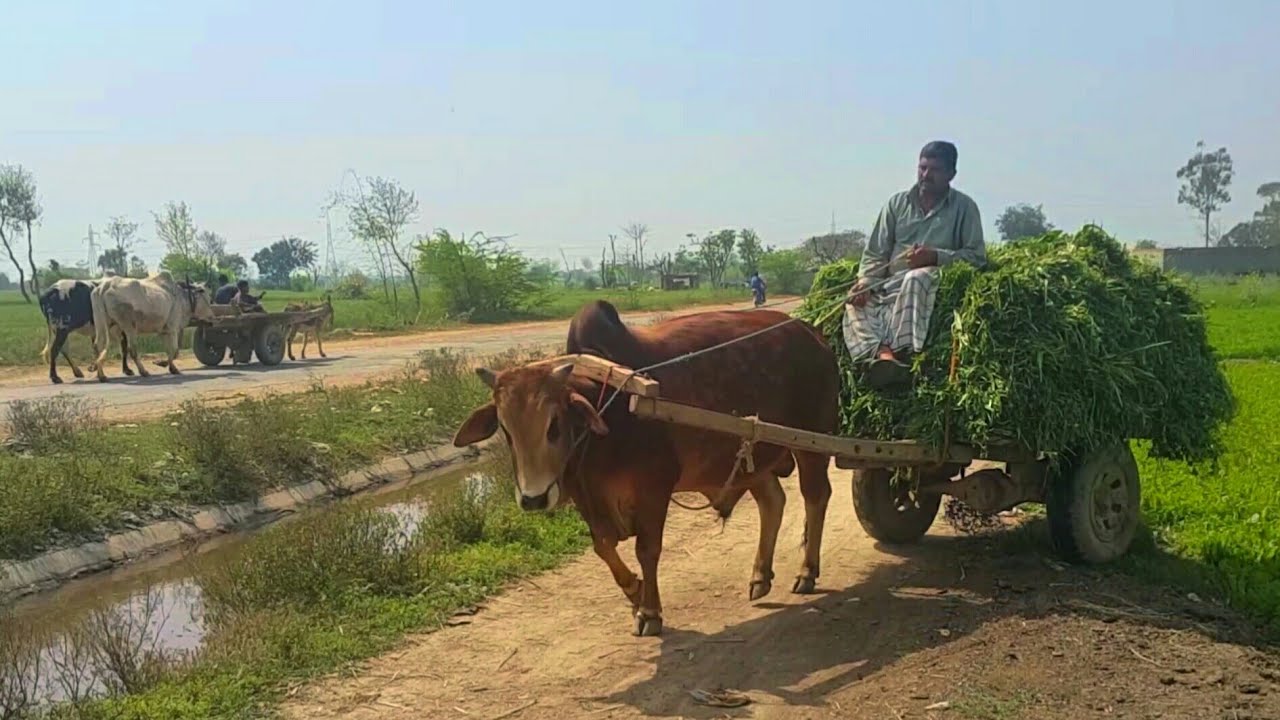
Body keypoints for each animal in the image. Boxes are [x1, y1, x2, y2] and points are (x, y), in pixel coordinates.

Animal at [451, 300, 840, 636]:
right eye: (505, 429)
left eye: (554, 425)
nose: (533, 499)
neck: (609, 409)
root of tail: (812, 333)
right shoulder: (588, 499)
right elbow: (603, 547)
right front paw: (635, 594)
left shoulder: (654, 489)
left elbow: (646, 550)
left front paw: (650, 612)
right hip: (751, 456)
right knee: (773, 501)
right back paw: (760, 576)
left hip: (812, 443)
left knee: (816, 496)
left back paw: (807, 572)